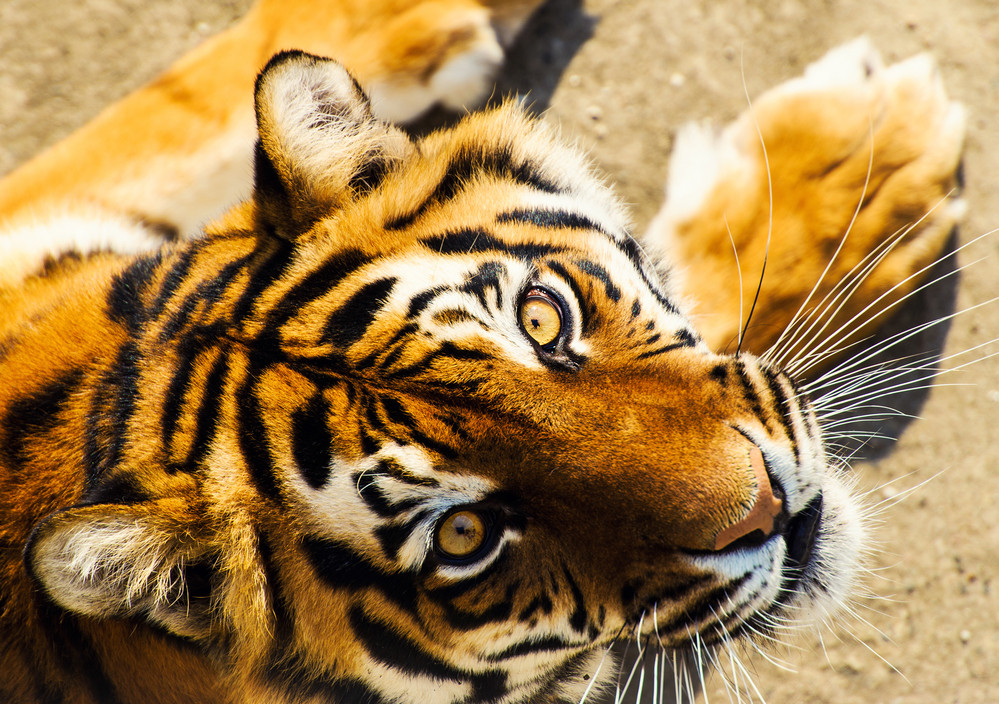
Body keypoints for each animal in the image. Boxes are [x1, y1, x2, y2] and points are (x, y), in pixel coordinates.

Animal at [0, 1, 966, 703]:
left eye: (541, 320)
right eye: (464, 535)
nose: (773, 507)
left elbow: (167, 115)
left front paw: (860, 153)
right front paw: (862, 159)